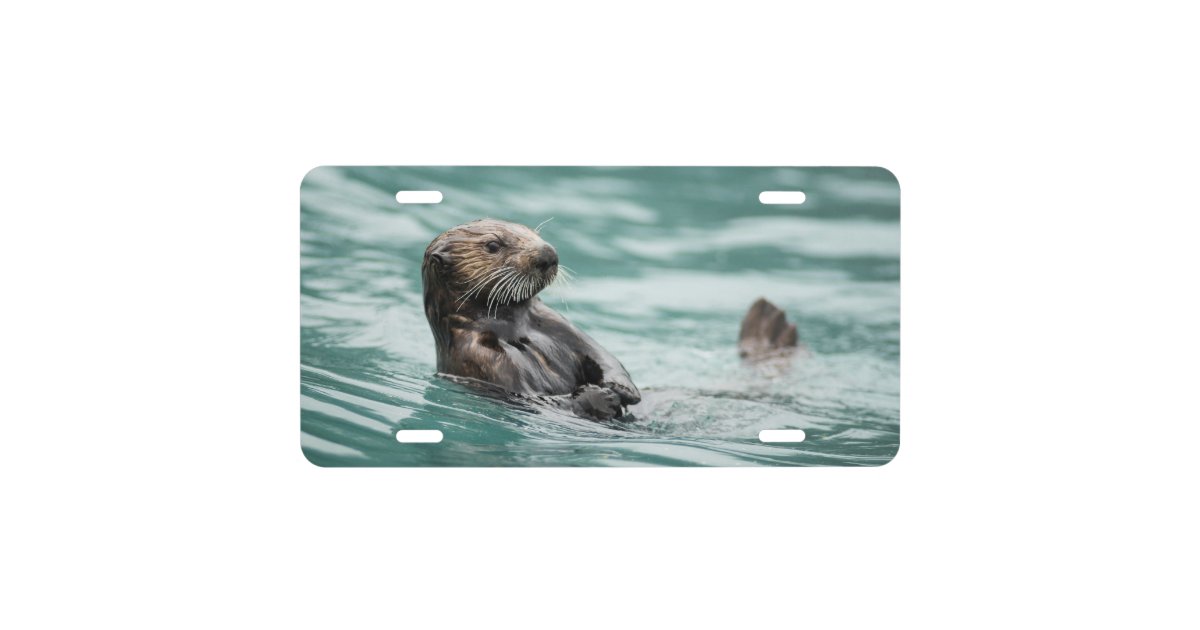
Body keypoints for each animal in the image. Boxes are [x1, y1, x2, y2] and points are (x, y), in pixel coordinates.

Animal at [421, 219, 641, 420]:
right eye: (493, 245)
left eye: (533, 233)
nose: (548, 253)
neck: (513, 328)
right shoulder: (480, 357)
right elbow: (536, 399)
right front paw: (601, 397)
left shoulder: (556, 324)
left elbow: (601, 354)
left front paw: (621, 388)